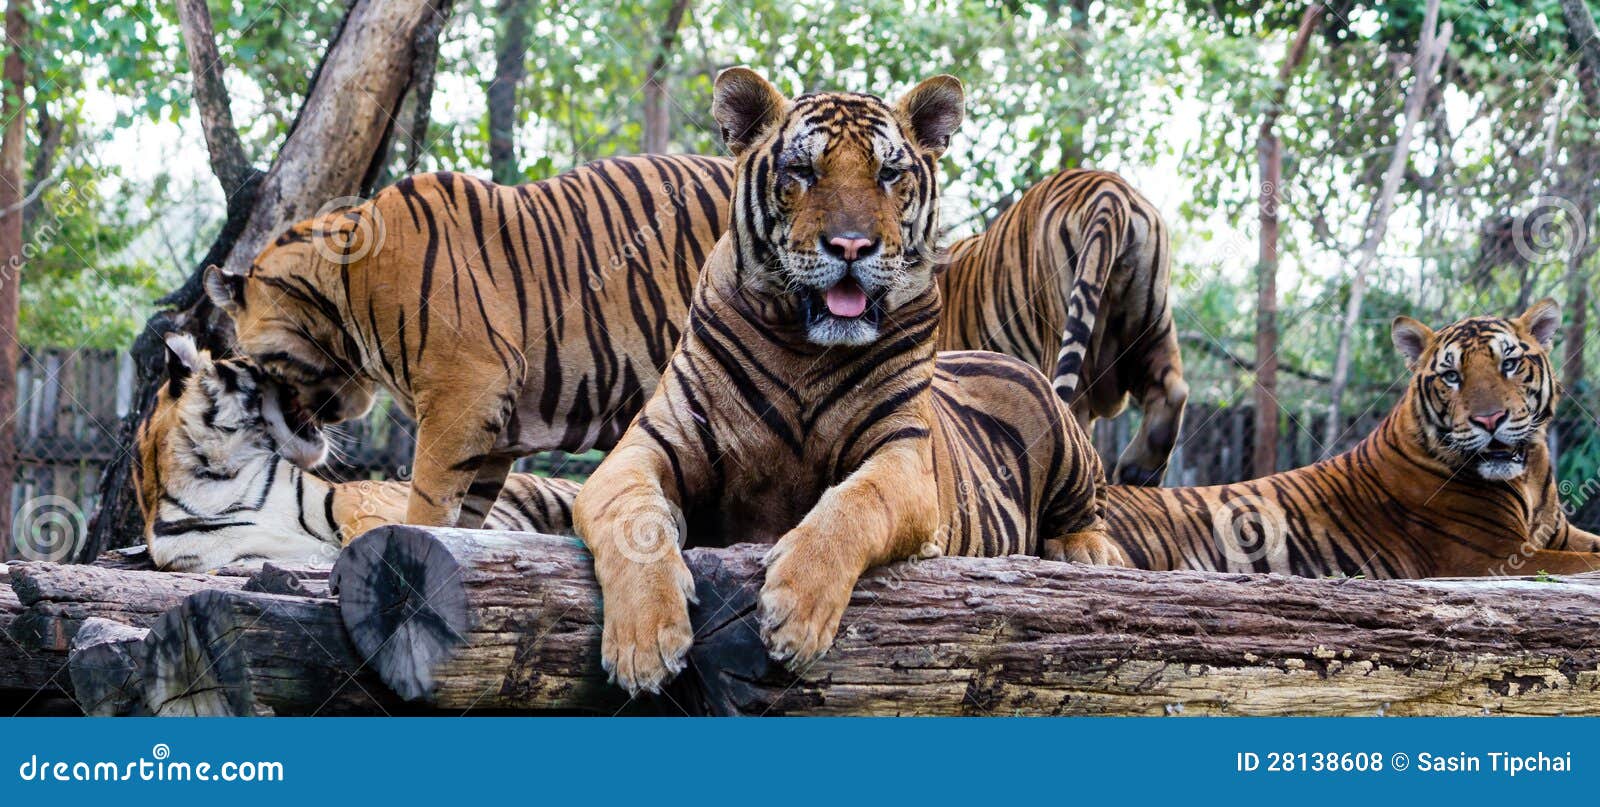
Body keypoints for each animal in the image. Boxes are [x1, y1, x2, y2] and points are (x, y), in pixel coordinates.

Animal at [574, 67, 1124, 696]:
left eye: (888, 173)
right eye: (803, 171)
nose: (852, 246)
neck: (801, 347)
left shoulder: (904, 460)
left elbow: (855, 504)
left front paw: (793, 613)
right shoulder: (646, 445)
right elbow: (632, 518)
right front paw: (643, 643)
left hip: (1058, 426)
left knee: (1091, 509)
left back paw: (1091, 552)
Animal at [1103, 300, 1600, 579]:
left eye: (1509, 364)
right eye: (1452, 376)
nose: (1490, 419)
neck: (1528, 476)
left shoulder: (1558, 535)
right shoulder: (1494, 554)